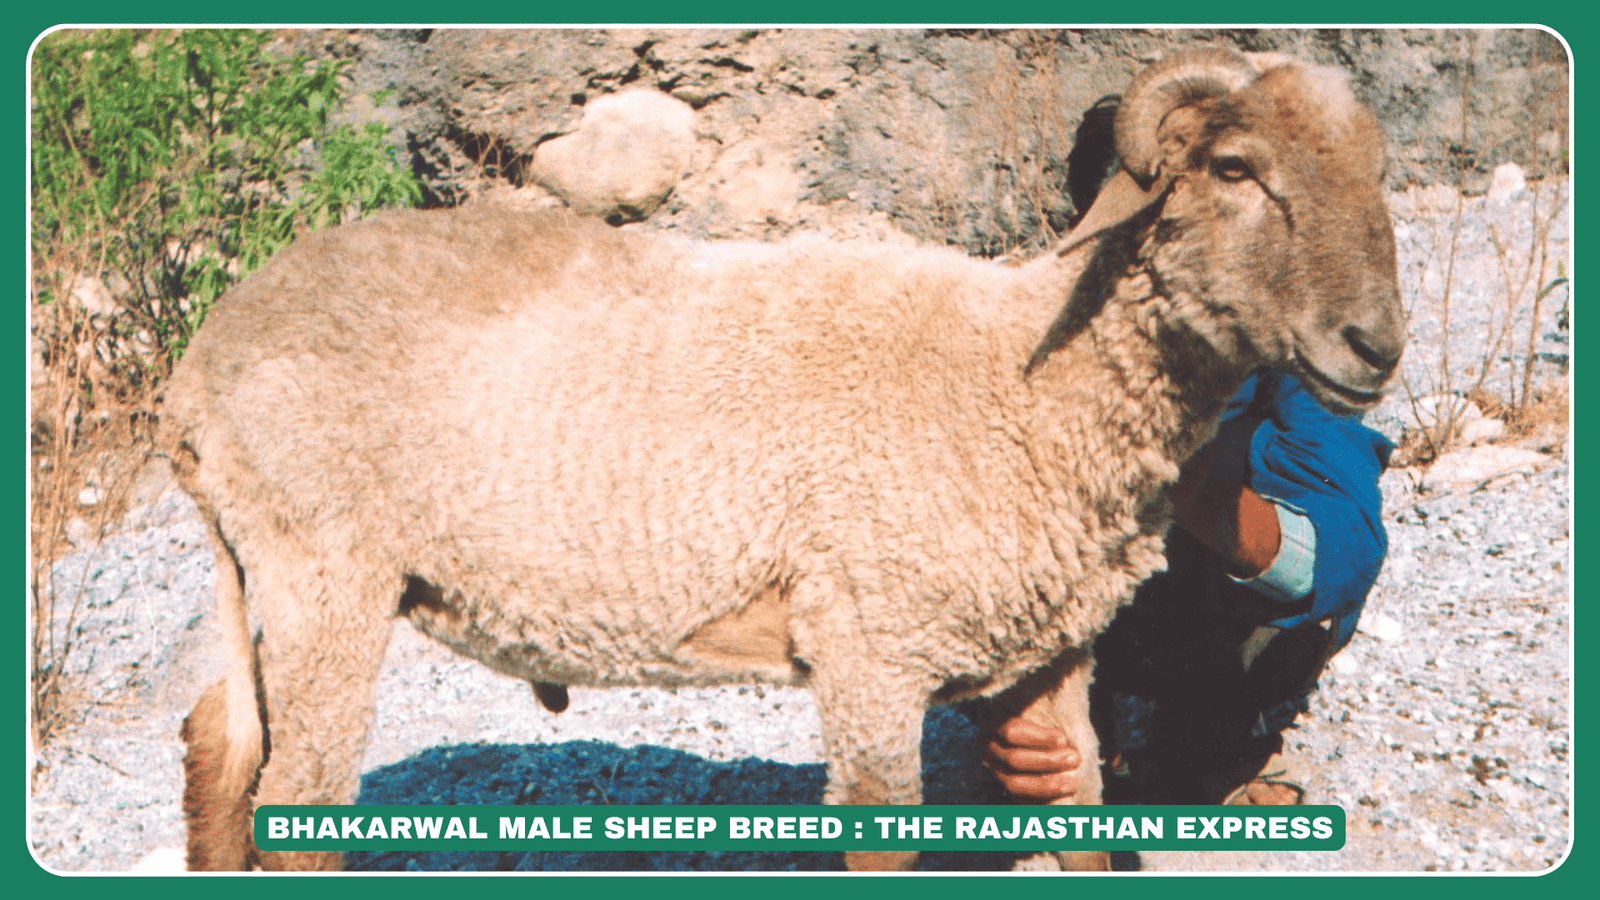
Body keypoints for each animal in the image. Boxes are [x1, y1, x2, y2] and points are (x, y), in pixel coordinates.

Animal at [166, 45, 1403, 872]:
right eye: (1233, 168)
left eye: (1374, 172)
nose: (1375, 347)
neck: (1020, 377)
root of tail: (199, 366)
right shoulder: (870, 642)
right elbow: (883, 845)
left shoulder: (1048, 656)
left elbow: (1085, 827)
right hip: (324, 567)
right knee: (296, 807)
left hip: (256, 567)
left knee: (218, 757)